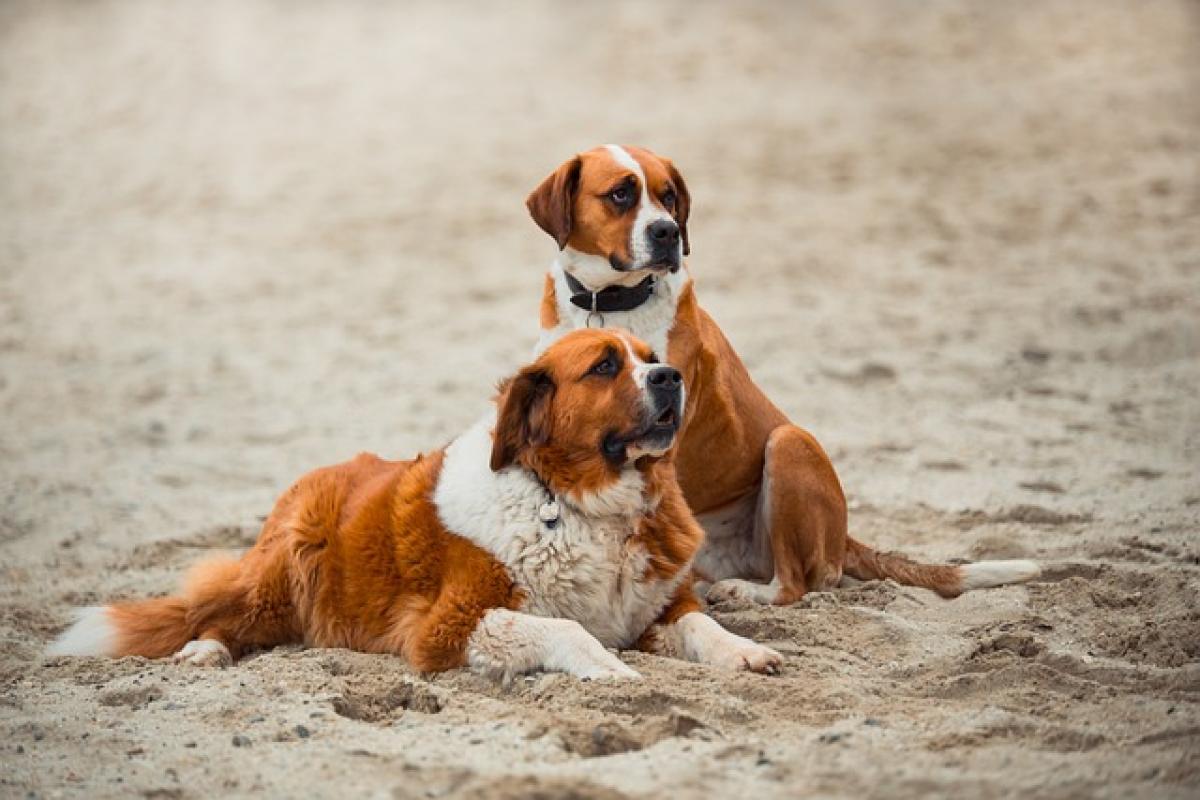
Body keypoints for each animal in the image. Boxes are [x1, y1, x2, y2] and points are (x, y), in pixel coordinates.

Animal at [46, 328, 782, 681]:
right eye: (605, 366)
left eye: (651, 356)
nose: (671, 377)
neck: (579, 504)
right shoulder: (448, 627)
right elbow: (565, 629)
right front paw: (608, 665)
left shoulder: (657, 604)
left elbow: (701, 624)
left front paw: (745, 651)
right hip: (286, 570)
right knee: (217, 611)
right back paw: (205, 650)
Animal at [528, 145, 1041, 606]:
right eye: (620, 194)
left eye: (669, 196)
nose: (668, 232)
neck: (609, 301)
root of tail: (844, 538)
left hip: (789, 443)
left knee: (795, 584)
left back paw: (744, 592)